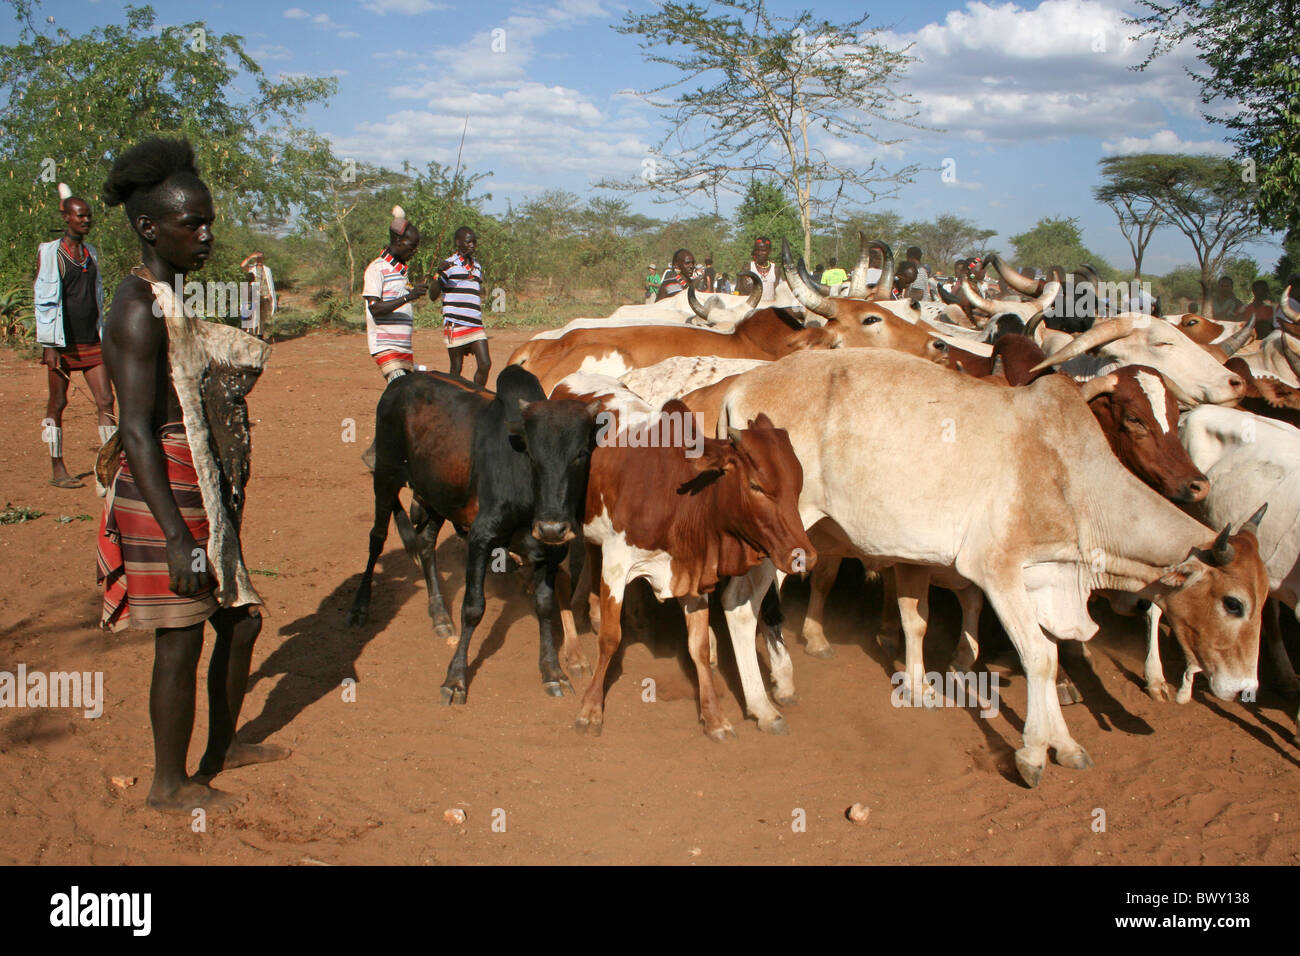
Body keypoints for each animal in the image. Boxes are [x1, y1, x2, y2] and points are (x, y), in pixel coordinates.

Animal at [348, 366, 599, 703]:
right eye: (532, 455)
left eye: (581, 453)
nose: (551, 527)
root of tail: (402, 381)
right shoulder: (481, 537)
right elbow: (472, 608)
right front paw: (455, 679)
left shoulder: (550, 550)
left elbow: (546, 606)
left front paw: (552, 672)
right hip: (385, 477)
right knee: (376, 538)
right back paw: (360, 606)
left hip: (438, 495)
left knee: (425, 544)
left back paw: (440, 615)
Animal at [549, 372, 814, 739]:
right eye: (756, 485)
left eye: (797, 484)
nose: (804, 556)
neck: (677, 494)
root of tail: (569, 381)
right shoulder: (618, 562)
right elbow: (610, 640)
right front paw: (590, 709)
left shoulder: (693, 572)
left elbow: (699, 646)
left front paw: (714, 717)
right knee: (561, 580)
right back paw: (574, 654)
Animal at [714, 349, 1270, 786]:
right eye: (1233, 603)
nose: (1245, 688)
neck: (1072, 479)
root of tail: (740, 385)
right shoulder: (997, 570)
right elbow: (1038, 659)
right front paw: (1032, 754)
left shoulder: (1040, 578)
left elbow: (1049, 654)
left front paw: (1064, 745)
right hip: (778, 538)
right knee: (739, 606)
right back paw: (763, 706)